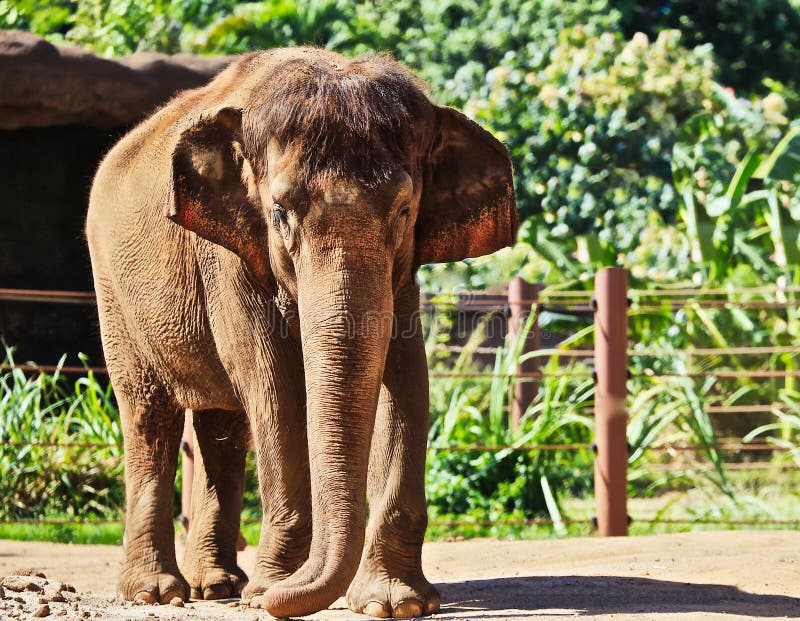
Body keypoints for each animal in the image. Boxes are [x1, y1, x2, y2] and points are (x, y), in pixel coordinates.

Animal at [86, 48, 518, 618]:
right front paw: (271, 590)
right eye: (279, 212)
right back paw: (160, 593)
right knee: (148, 416)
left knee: (223, 428)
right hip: (113, 295)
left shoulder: (403, 272)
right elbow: (277, 387)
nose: (269, 599)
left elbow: (407, 380)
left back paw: (217, 588)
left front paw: (392, 603)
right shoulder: (229, 255)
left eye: (405, 211)